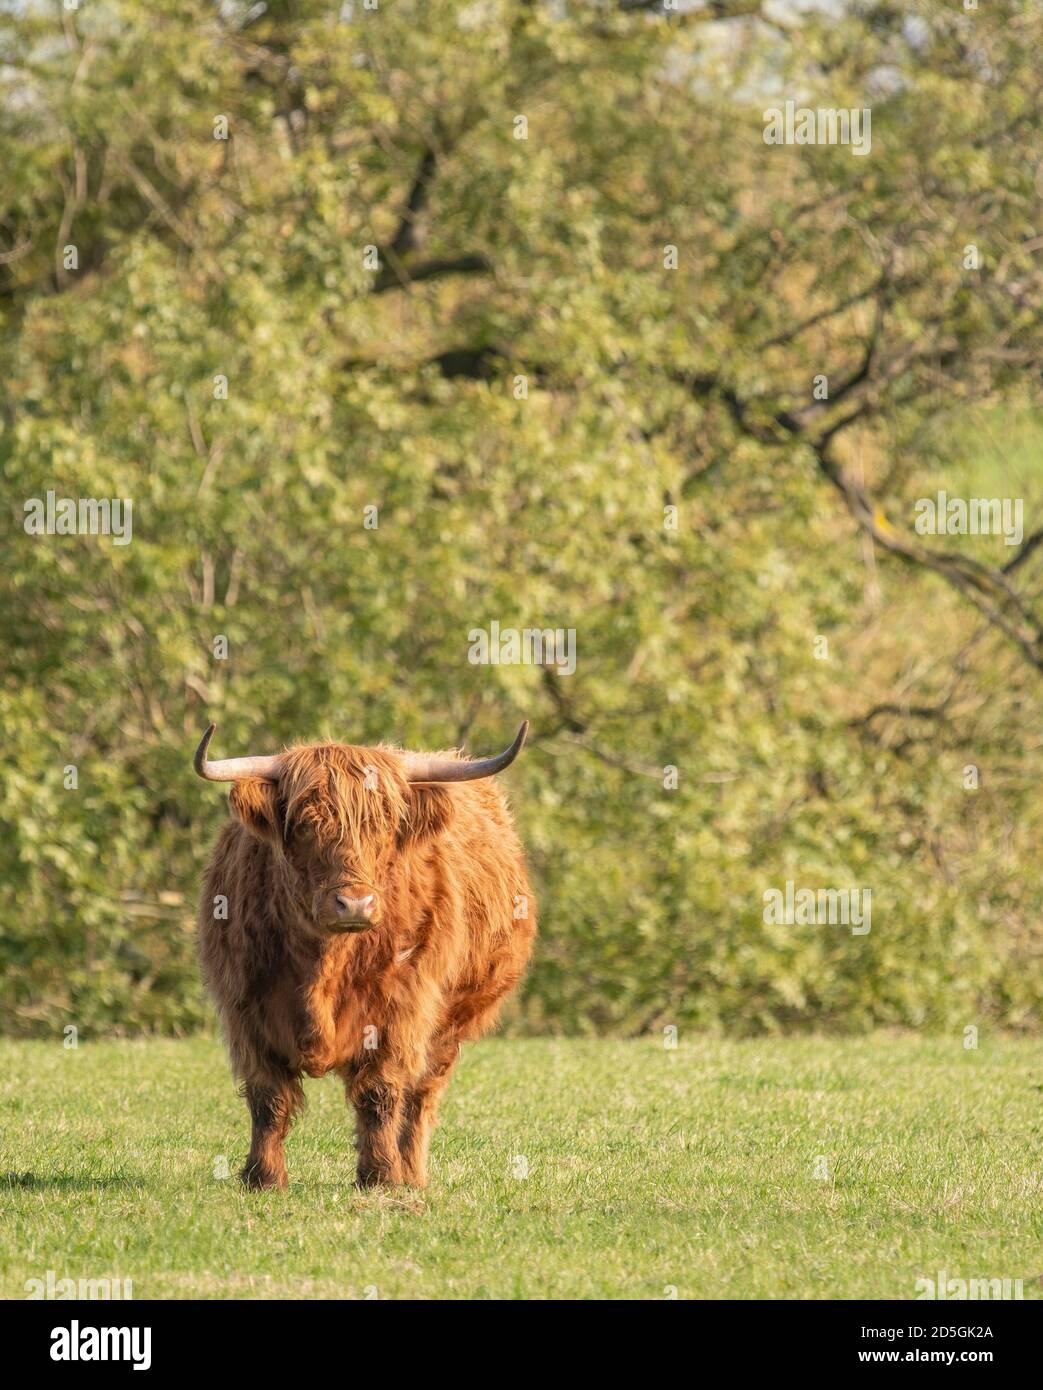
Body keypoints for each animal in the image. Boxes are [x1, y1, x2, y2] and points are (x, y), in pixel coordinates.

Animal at [193, 721, 536, 1190]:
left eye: (385, 826)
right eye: (305, 824)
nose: (354, 904)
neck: (323, 967)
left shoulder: (401, 1011)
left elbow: (380, 1094)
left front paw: (380, 1176)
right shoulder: (245, 1009)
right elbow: (268, 1098)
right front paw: (263, 1177)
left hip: (449, 1027)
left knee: (420, 1098)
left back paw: (412, 1173)